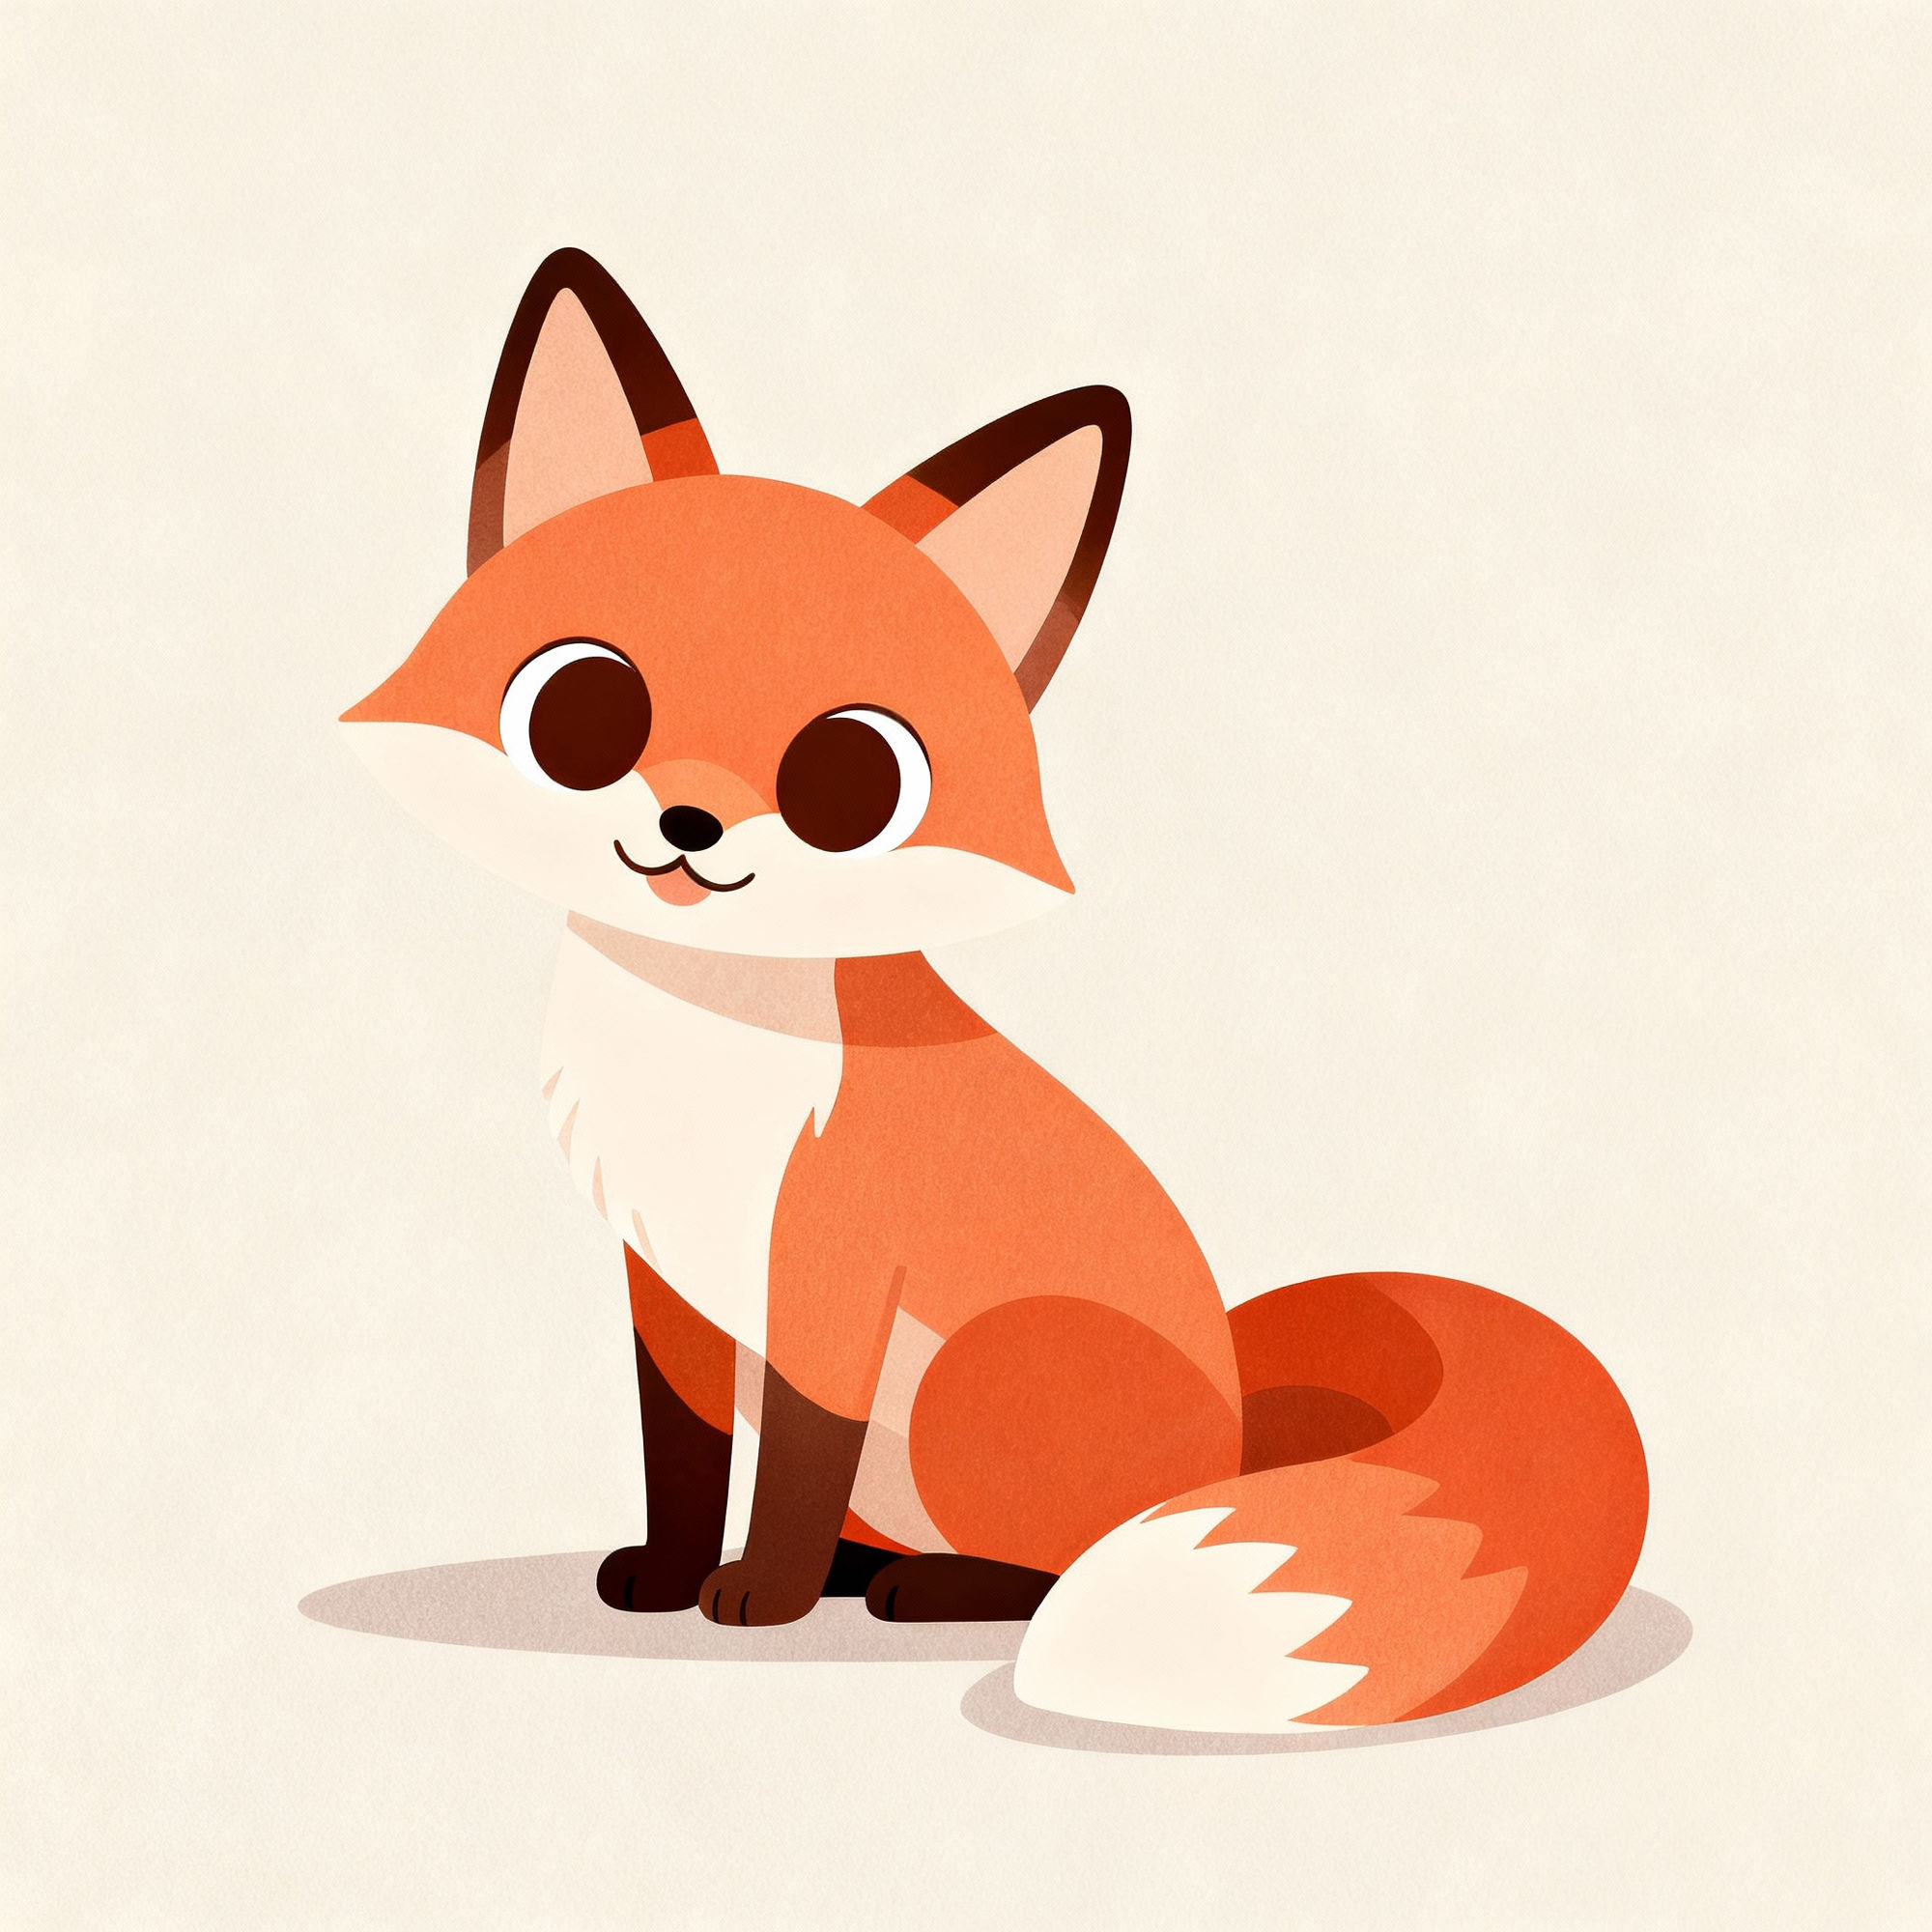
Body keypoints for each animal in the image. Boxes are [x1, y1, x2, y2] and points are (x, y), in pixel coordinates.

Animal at [341, 248, 1648, 1733]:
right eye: (581, 708)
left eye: (852, 778)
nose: (689, 827)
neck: (699, 1049)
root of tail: (1239, 1433)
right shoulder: (664, 1279)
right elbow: (681, 1455)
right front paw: (673, 1574)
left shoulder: (832, 1273)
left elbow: (796, 1456)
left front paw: (761, 1592)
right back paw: (864, 1567)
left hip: (983, 1374)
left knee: (1057, 1556)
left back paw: (921, 1587)